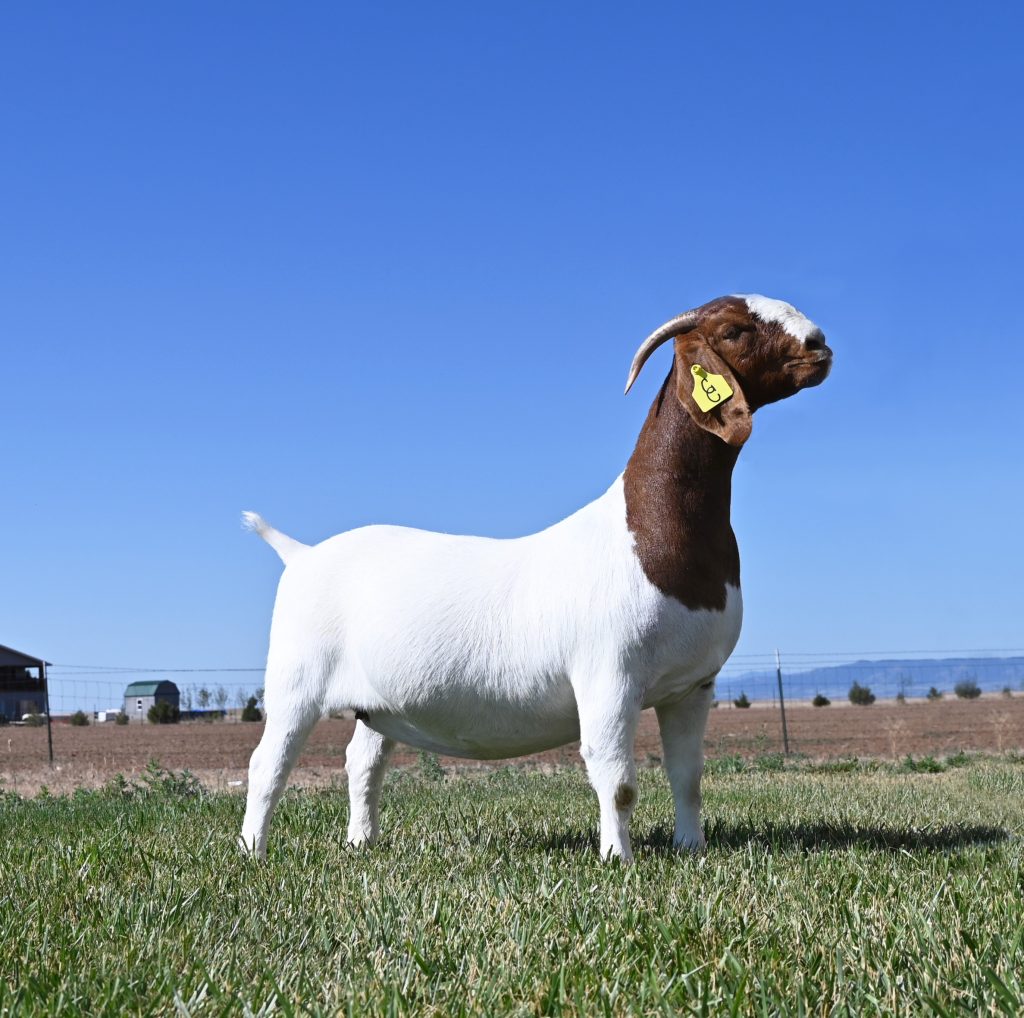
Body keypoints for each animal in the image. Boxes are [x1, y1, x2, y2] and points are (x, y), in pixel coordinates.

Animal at [239, 294, 832, 860]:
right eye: (733, 329)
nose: (819, 344)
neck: (647, 528)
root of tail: (300, 555)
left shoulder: (692, 685)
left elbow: (687, 777)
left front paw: (692, 848)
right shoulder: (609, 676)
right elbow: (616, 779)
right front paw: (617, 858)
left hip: (377, 703)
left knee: (362, 762)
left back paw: (361, 842)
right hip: (296, 678)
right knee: (268, 763)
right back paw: (253, 851)